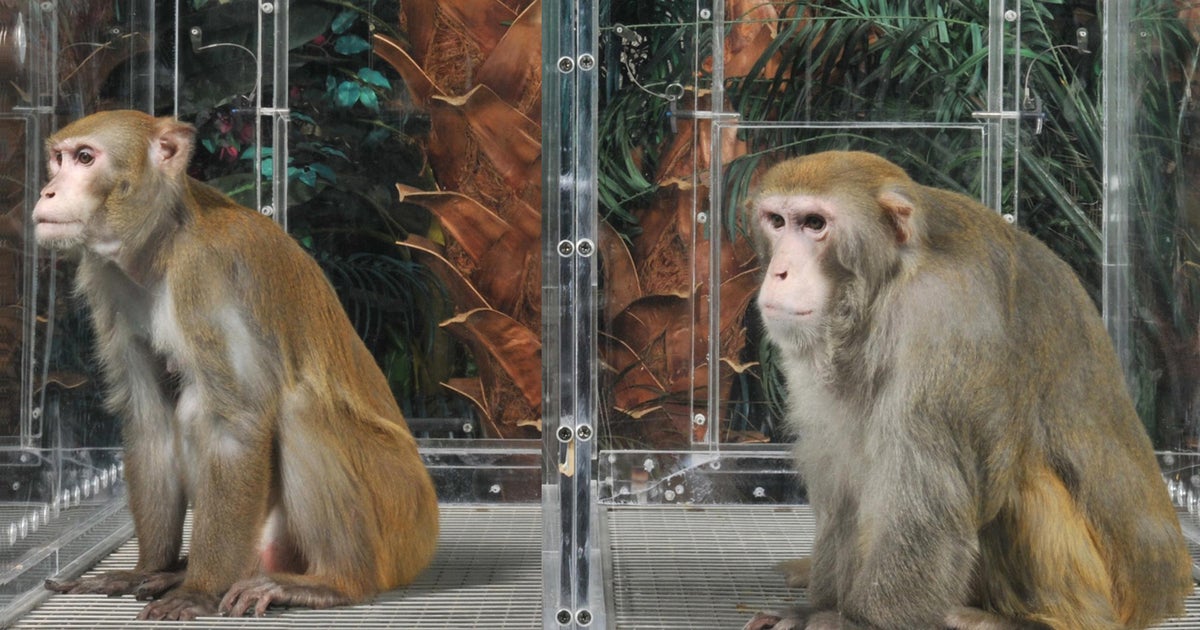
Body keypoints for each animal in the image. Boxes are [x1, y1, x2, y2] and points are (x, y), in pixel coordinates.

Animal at [33, 110, 440, 621]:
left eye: (86, 158)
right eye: (57, 159)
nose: (47, 191)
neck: (163, 243)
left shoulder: (209, 272)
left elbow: (239, 422)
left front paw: (199, 590)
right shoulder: (109, 282)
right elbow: (150, 420)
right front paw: (148, 569)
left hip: (401, 518)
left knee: (296, 409)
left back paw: (333, 583)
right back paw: (179, 572)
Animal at [740, 151, 1193, 630]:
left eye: (814, 223)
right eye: (777, 221)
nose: (780, 272)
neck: (887, 284)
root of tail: (1166, 590)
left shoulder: (947, 314)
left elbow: (927, 502)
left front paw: (857, 621)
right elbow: (843, 480)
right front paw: (817, 606)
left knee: (1019, 475)